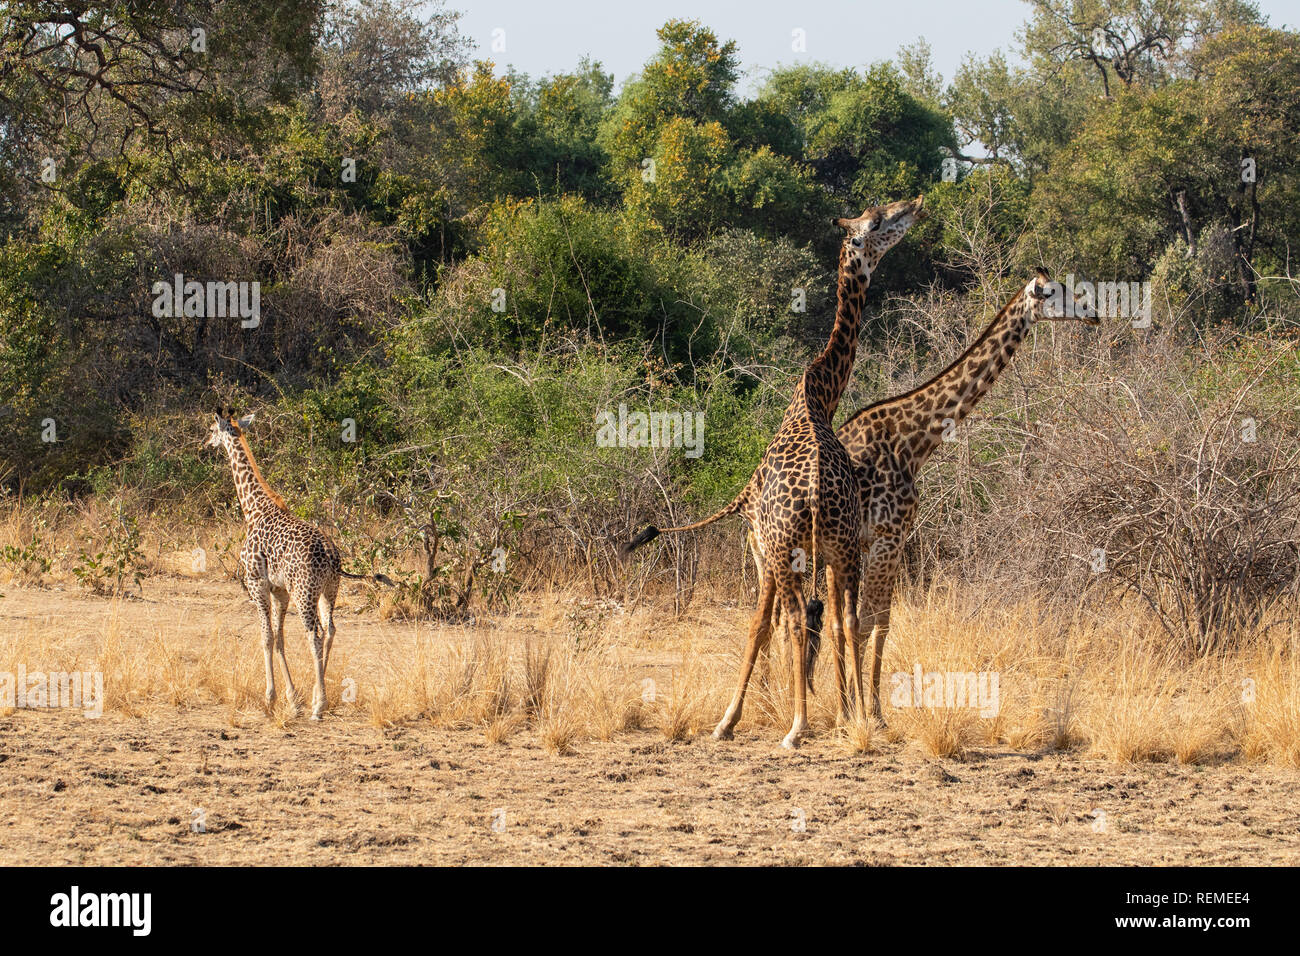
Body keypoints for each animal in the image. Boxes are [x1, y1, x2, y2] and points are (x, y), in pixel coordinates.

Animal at [206, 407, 392, 719]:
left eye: (211, 429)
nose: (206, 443)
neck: (253, 509)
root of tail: (331, 554)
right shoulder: (280, 590)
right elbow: (279, 638)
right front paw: (292, 698)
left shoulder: (257, 583)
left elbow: (266, 637)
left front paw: (270, 698)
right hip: (329, 590)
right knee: (330, 630)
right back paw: (318, 695)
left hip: (304, 593)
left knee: (314, 635)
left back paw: (319, 706)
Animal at [623, 196, 925, 746]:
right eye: (877, 219)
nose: (914, 205)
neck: (816, 395)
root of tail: (814, 493)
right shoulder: (805, 548)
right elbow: (803, 624)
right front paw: (840, 713)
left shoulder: (771, 546)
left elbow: (761, 626)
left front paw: (730, 720)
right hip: (836, 548)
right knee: (844, 618)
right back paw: (842, 718)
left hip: (792, 549)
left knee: (799, 620)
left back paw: (798, 726)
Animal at [834, 269, 1099, 722]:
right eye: (1053, 293)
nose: (1093, 313)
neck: (914, 441)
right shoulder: (889, 535)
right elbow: (874, 621)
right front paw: (873, 714)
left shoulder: (883, 539)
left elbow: (873, 620)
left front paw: (856, 709)